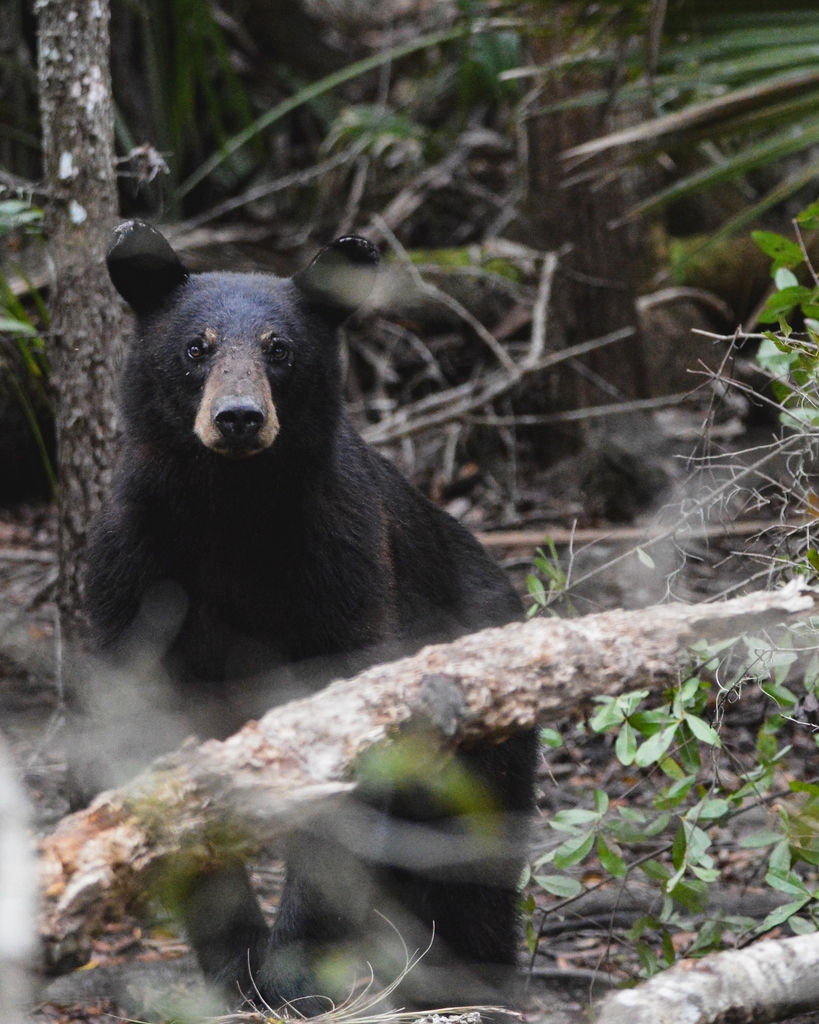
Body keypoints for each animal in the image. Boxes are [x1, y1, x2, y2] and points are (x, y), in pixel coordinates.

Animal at [83, 220, 537, 1013]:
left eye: (280, 348)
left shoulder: (338, 572)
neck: (229, 512)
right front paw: (236, 968)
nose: (238, 417)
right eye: (196, 347)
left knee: (471, 867)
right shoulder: (133, 574)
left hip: (481, 744)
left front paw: (293, 978)